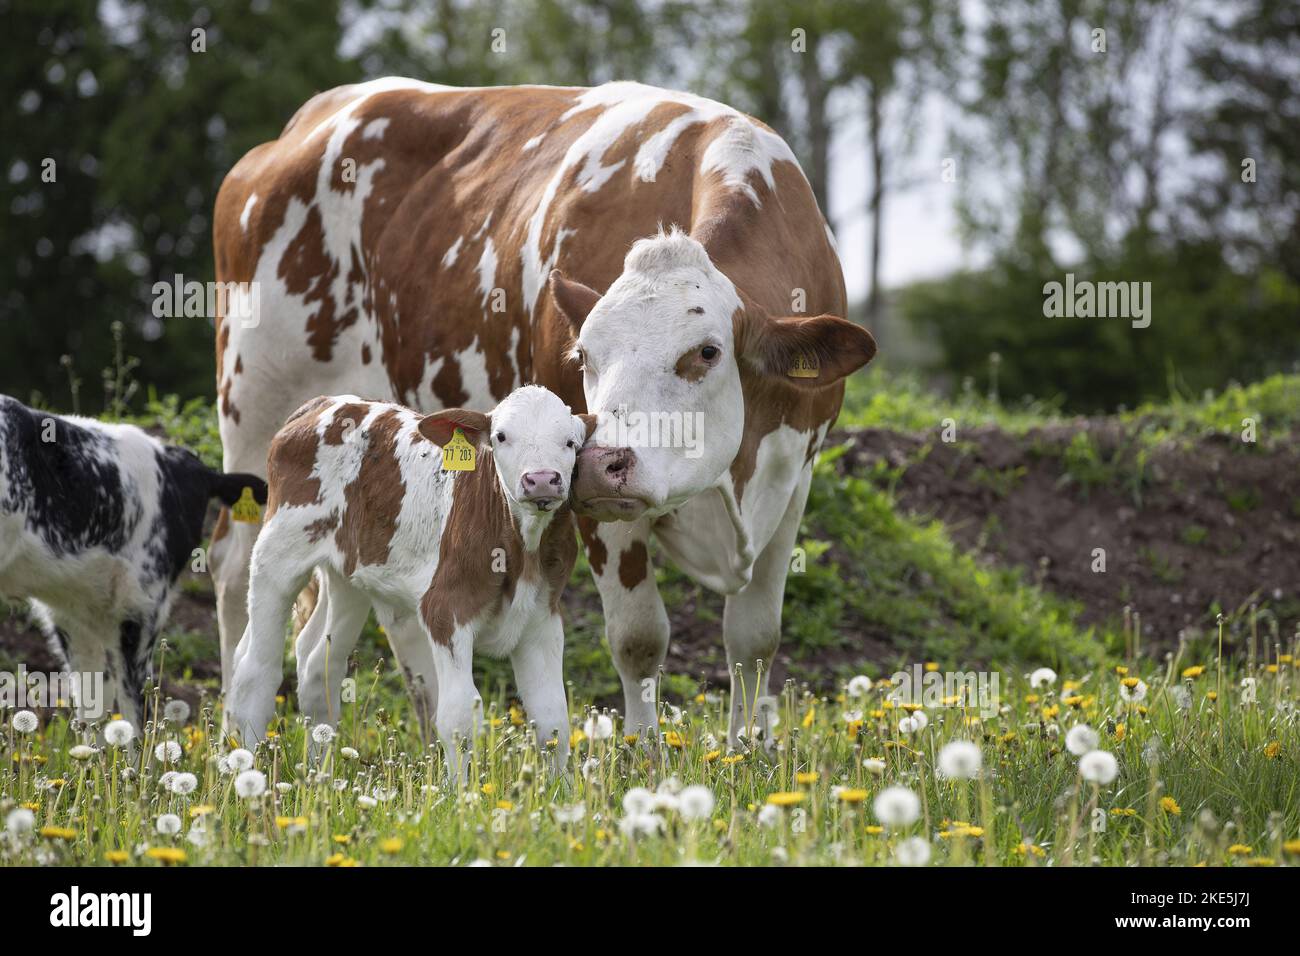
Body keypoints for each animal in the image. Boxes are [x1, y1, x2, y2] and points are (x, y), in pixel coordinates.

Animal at [225, 386, 591, 772]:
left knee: (317, 665)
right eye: (502, 437)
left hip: (348, 576)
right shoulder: (444, 608)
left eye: (570, 442)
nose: (541, 479)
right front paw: (463, 788)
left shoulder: (542, 616)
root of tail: (325, 403)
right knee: (254, 670)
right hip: (277, 554)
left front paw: (559, 784)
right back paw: (250, 768)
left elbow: (552, 717)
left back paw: (316, 771)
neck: (518, 549)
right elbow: (459, 717)